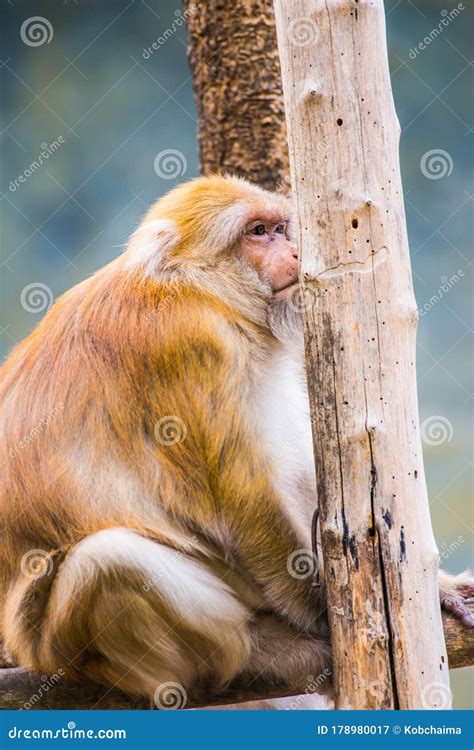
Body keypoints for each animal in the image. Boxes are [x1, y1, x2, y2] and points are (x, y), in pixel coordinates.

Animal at [0, 175, 472, 709]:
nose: (294, 251)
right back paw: (257, 654)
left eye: (281, 228)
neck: (199, 290)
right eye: (257, 232)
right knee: (108, 563)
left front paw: (434, 587)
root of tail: (29, 651)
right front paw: (328, 618)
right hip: (67, 648)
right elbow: (241, 499)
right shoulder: (195, 343)